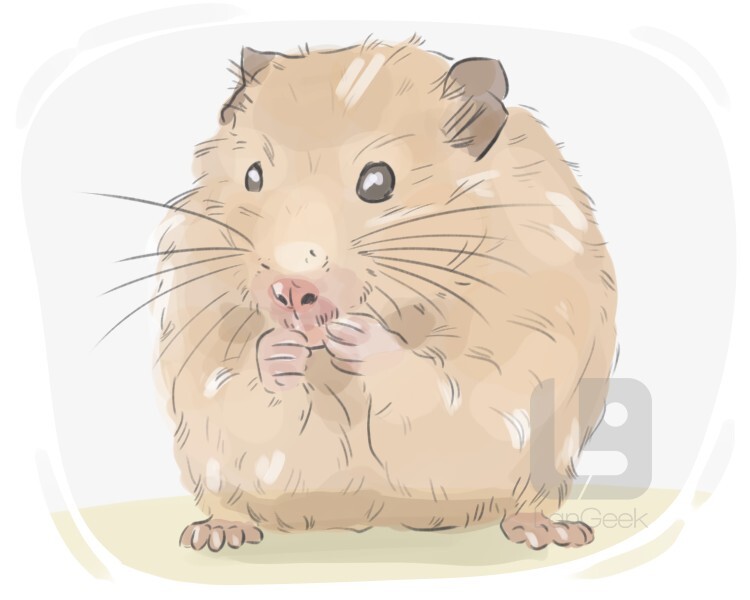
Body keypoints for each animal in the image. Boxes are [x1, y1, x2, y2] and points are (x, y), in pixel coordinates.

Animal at [152, 35, 617, 552]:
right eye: (253, 176)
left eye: (378, 181)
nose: (290, 289)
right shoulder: (203, 349)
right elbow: (239, 395)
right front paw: (279, 350)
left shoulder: (518, 350)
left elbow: (443, 390)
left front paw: (359, 338)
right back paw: (214, 534)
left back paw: (550, 532)